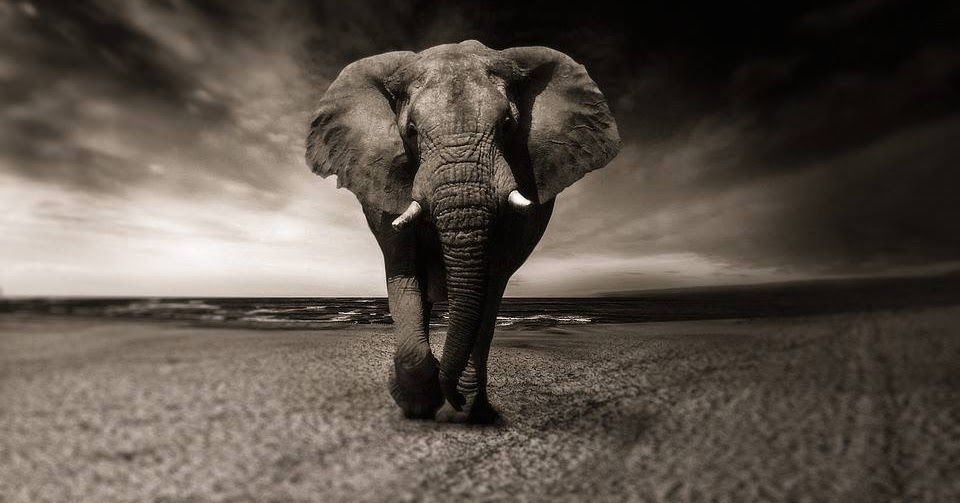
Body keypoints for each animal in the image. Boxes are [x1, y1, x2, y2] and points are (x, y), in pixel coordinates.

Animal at [305, 40, 620, 423]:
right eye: (411, 131)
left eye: (507, 125)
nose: (451, 396)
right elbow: (404, 271)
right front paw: (419, 403)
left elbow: (491, 281)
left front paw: (463, 406)